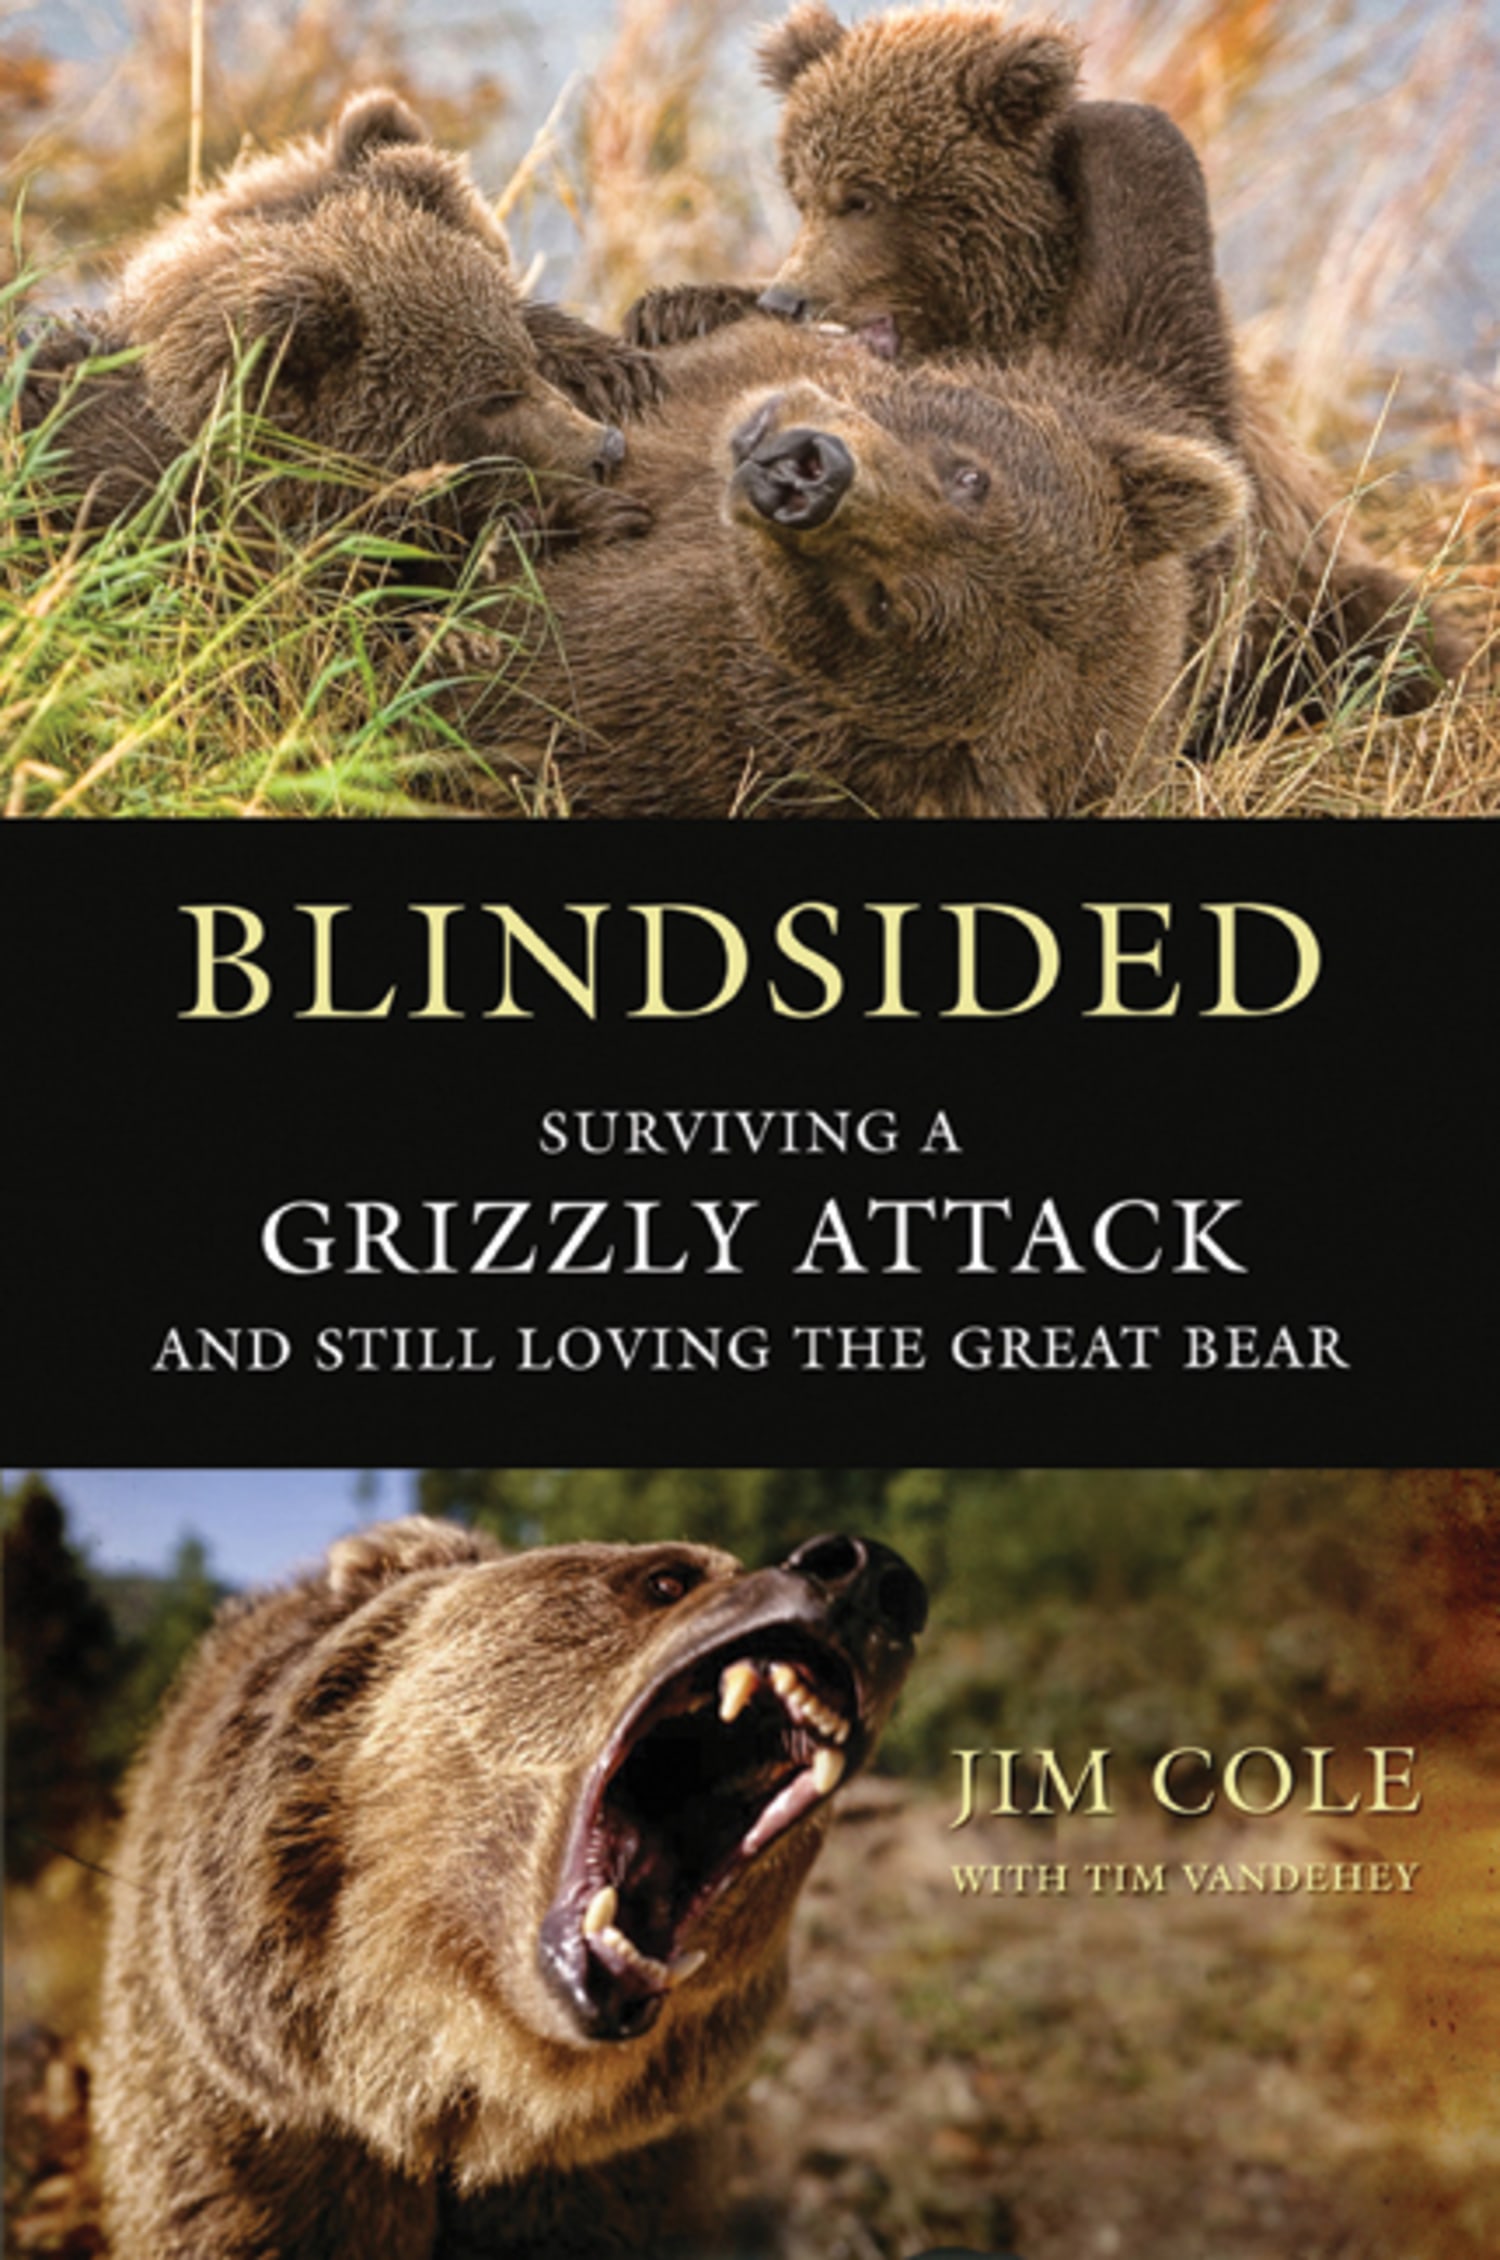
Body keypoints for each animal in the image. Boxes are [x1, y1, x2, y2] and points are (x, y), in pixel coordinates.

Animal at [626, 4, 1469, 726]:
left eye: (862, 196)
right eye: (799, 188)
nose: (789, 295)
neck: (1004, 310)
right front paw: (673, 307)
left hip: (1323, 583)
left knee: (1388, 635)